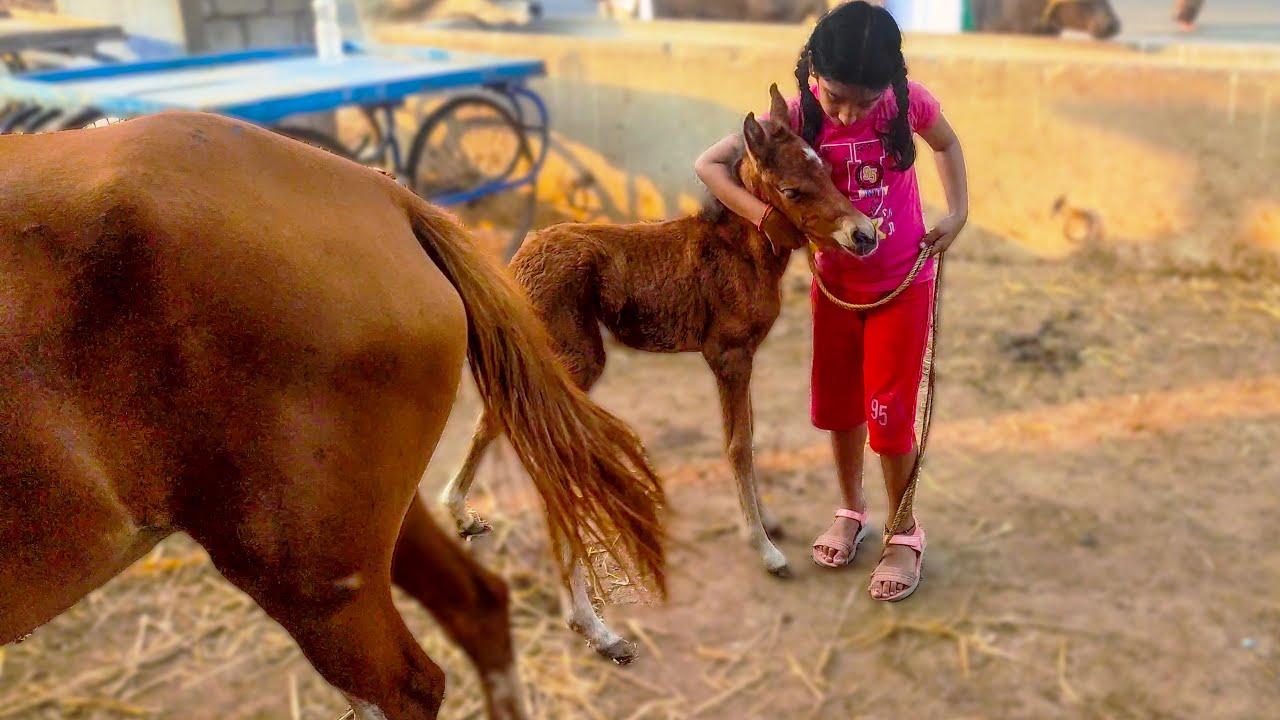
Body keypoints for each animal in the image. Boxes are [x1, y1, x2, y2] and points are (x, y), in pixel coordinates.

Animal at [439, 83, 878, 663]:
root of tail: (515, 267)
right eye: (792, 189)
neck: (741, 251)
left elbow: (748, 437)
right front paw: (764, 549)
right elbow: (738, 446)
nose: (864, 234)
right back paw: (595, 628)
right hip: (576, 363)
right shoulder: (728, 355)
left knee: (494, 420)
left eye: (826, 169)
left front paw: (765, 522)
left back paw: (462, 514)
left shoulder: (742, 357)